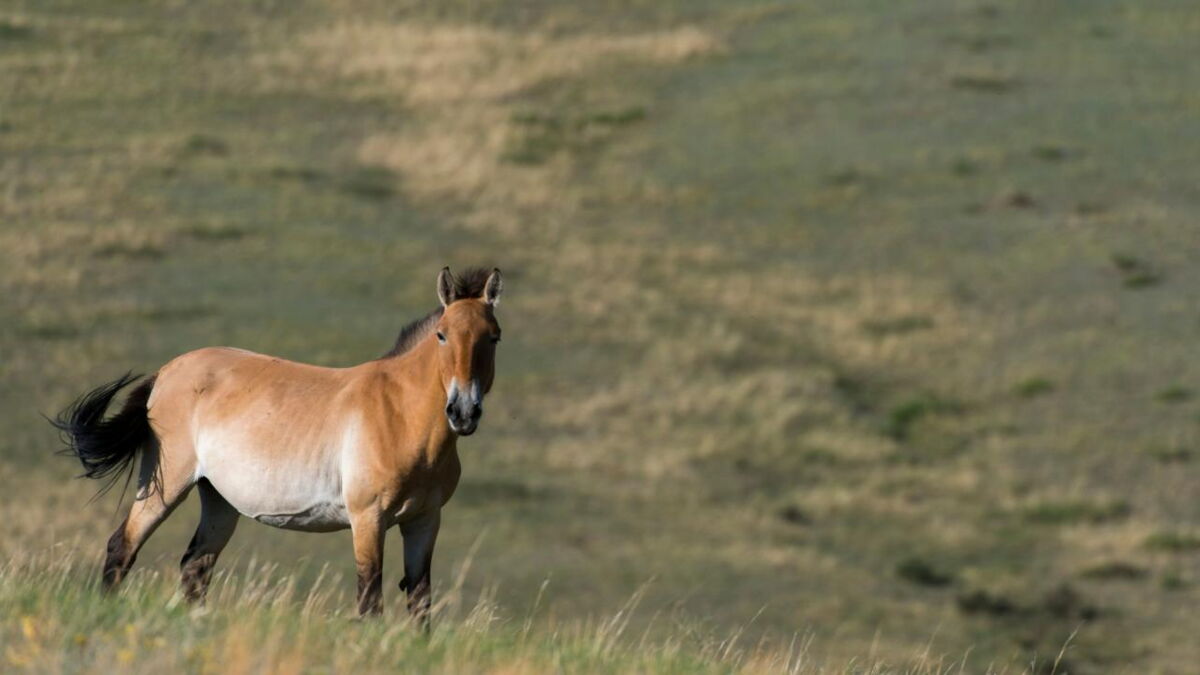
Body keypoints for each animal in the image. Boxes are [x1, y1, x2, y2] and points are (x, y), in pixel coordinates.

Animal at [52, 266, 503, 622]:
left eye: (494, 337)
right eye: (442, 335)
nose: (463, 412)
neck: (400, 414)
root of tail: (165, 372)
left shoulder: (424, 521)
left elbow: (420, 600)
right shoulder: (368, 520)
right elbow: (369, 596)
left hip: (217, 498)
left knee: (195, 568)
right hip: (166, 483)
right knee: (123, 547)